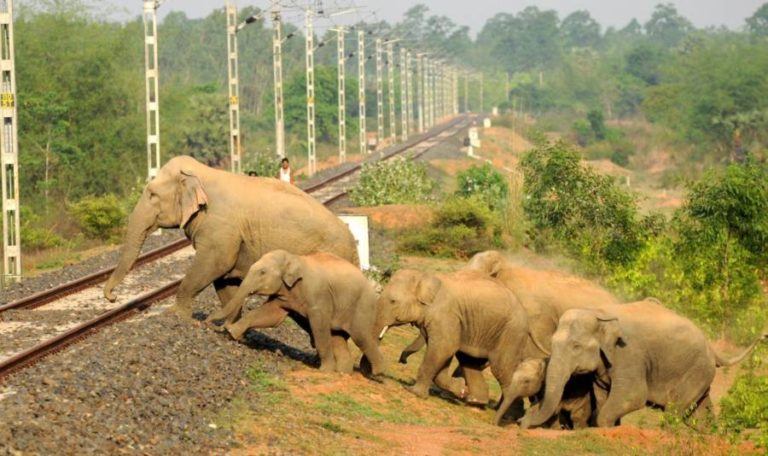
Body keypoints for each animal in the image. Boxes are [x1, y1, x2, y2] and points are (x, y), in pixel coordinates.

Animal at [103, 156, 358, 318]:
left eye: (152, 194)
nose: (112, 298)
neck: (202, 172)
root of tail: (352, 241)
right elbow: (224, 276)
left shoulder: (220, 227)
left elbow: (215, 263)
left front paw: (178, 317)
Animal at [215, 250, 385, 377]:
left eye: (262, 272)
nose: (217, 326)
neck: (294, 258)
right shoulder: (284, 295)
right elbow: (271, 316)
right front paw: (231, 333)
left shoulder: (318, 296)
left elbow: (319, 325)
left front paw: (324, 371)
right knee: (338, 337)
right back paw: (343, 373)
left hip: (363, 307)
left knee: (361, 336)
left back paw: (376, 373)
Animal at [375, 268, 532, 425]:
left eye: (393, 301)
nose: (402, 360)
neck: (424, 276)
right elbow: (444, 354)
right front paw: (461, 389)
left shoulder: (445, 315)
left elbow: (444, 348)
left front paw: (413, 392)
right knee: (469, 361)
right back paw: (474, 401)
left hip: (511, 333)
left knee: (502, 368)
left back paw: (510, 417)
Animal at [521, 299, 768, 428]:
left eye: (575, 347)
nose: (523, 421)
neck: (599, 312)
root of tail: (712, 348)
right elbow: (602, 396)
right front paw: (613, 428)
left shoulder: (629, 354)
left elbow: (633, 396)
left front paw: (606, 427)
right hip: (702, 375)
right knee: (701, 411)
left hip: (696, 372)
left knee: (676, 410)